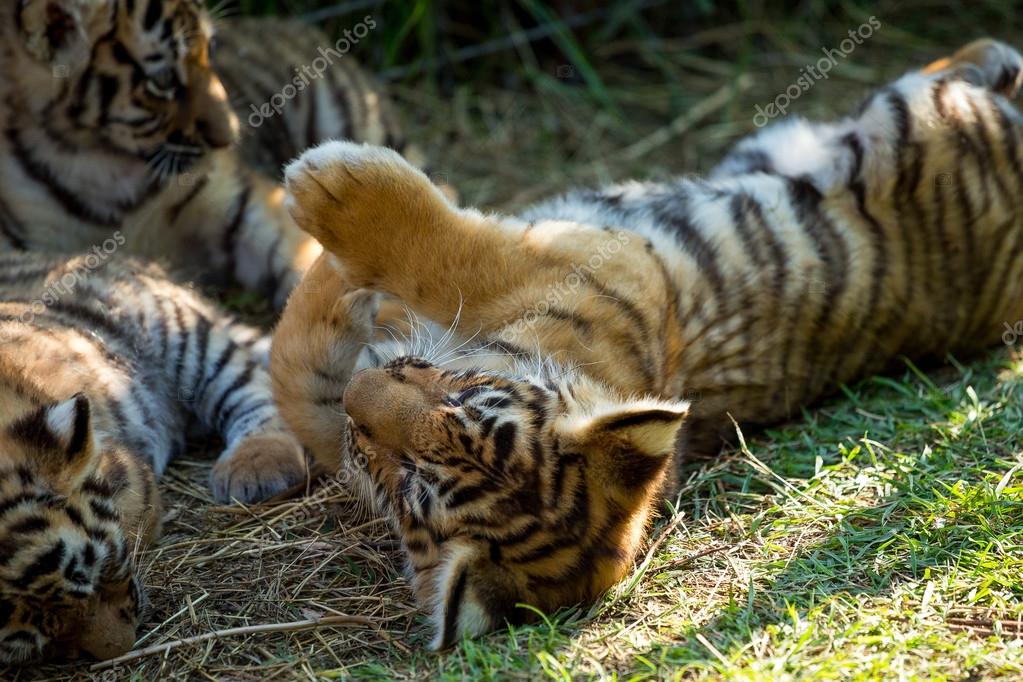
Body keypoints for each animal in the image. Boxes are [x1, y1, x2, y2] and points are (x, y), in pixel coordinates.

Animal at [0, 251, 304, 663]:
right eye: (41, 636)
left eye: (101, 570)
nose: (122, 647)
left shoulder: (127, 472)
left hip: (180, 335)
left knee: (255, 385)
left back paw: (260, 465)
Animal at [270, 38, 1023, 648]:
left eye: (414, 476)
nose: (361, 399)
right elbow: (299, 382)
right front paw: (328, 292)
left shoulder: (605, 258)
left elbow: (444, 253)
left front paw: (324, 192)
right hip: (782, 146)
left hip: (914, 119)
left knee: (954, 83)